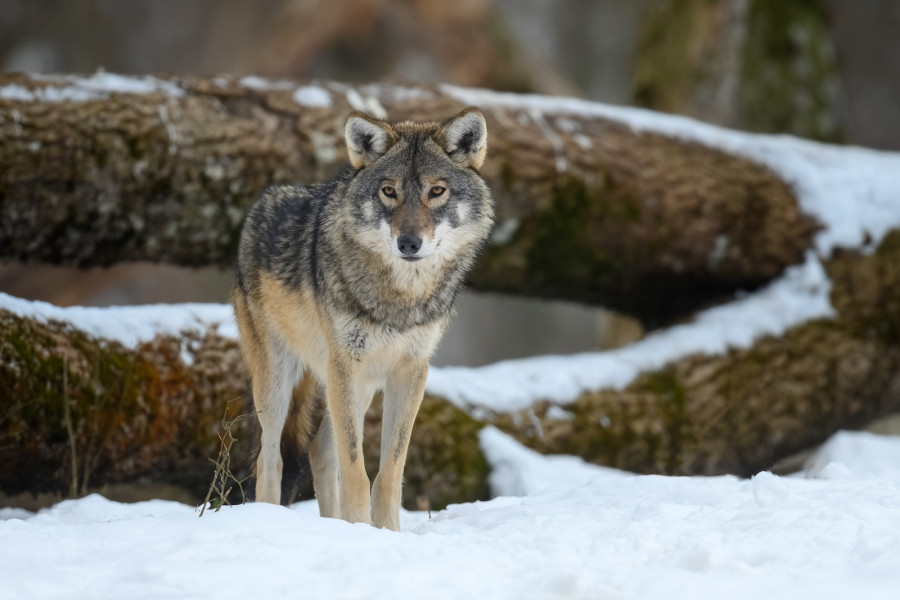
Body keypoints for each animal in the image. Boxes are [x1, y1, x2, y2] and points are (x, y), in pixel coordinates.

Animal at [232, 106, 494, 530]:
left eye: (437, 191)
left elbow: (389, 470)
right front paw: (360, 527)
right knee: (270, 459)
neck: (398, 299)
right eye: (389, 191)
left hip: (362, 384)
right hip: (279, 382)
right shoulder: (344, 363)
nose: (409, 243)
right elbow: (356, 469)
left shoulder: (410, 369)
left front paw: (384, 532)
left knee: (321, 450)